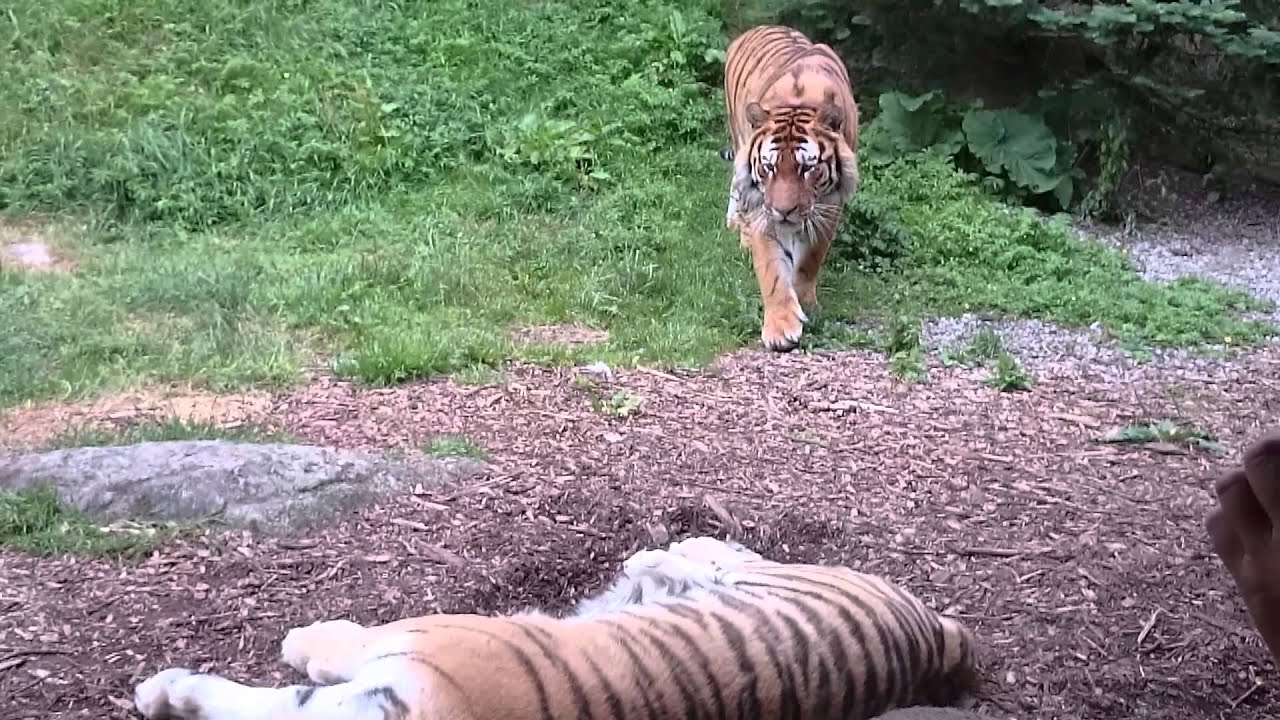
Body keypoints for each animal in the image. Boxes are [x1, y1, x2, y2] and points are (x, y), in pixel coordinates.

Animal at [722, 24, 861, 352]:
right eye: (769, 167)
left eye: (807, 168)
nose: (784, 211)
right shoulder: (763, 207)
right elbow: (772, 270)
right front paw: (781, 326)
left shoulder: (830, 204)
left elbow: (810, 258)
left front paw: (805, 302)